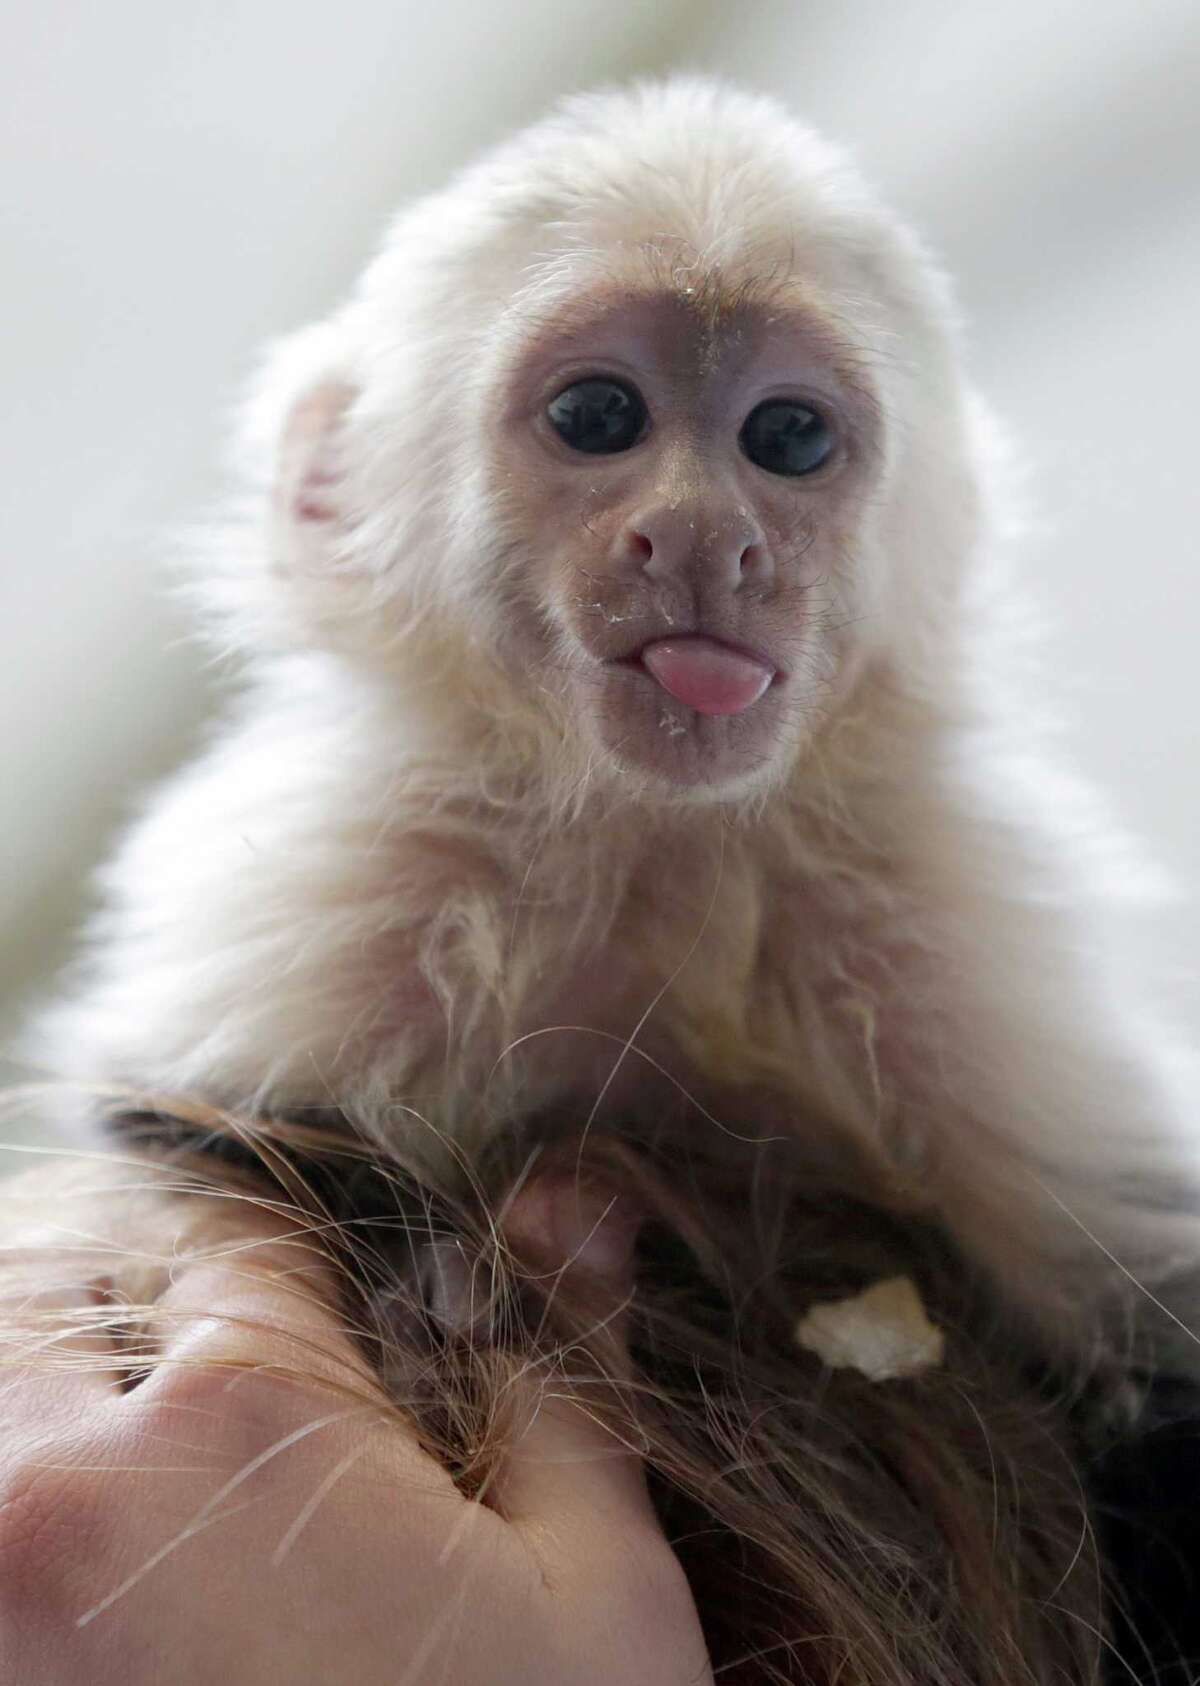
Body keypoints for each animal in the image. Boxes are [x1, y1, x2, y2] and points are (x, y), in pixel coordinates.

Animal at [27, 75, 1200, 1389]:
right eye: (599, 415)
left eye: (788, 437)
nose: (701, 537)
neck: (660, 846)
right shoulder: (346, 900)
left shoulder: (967, 956)